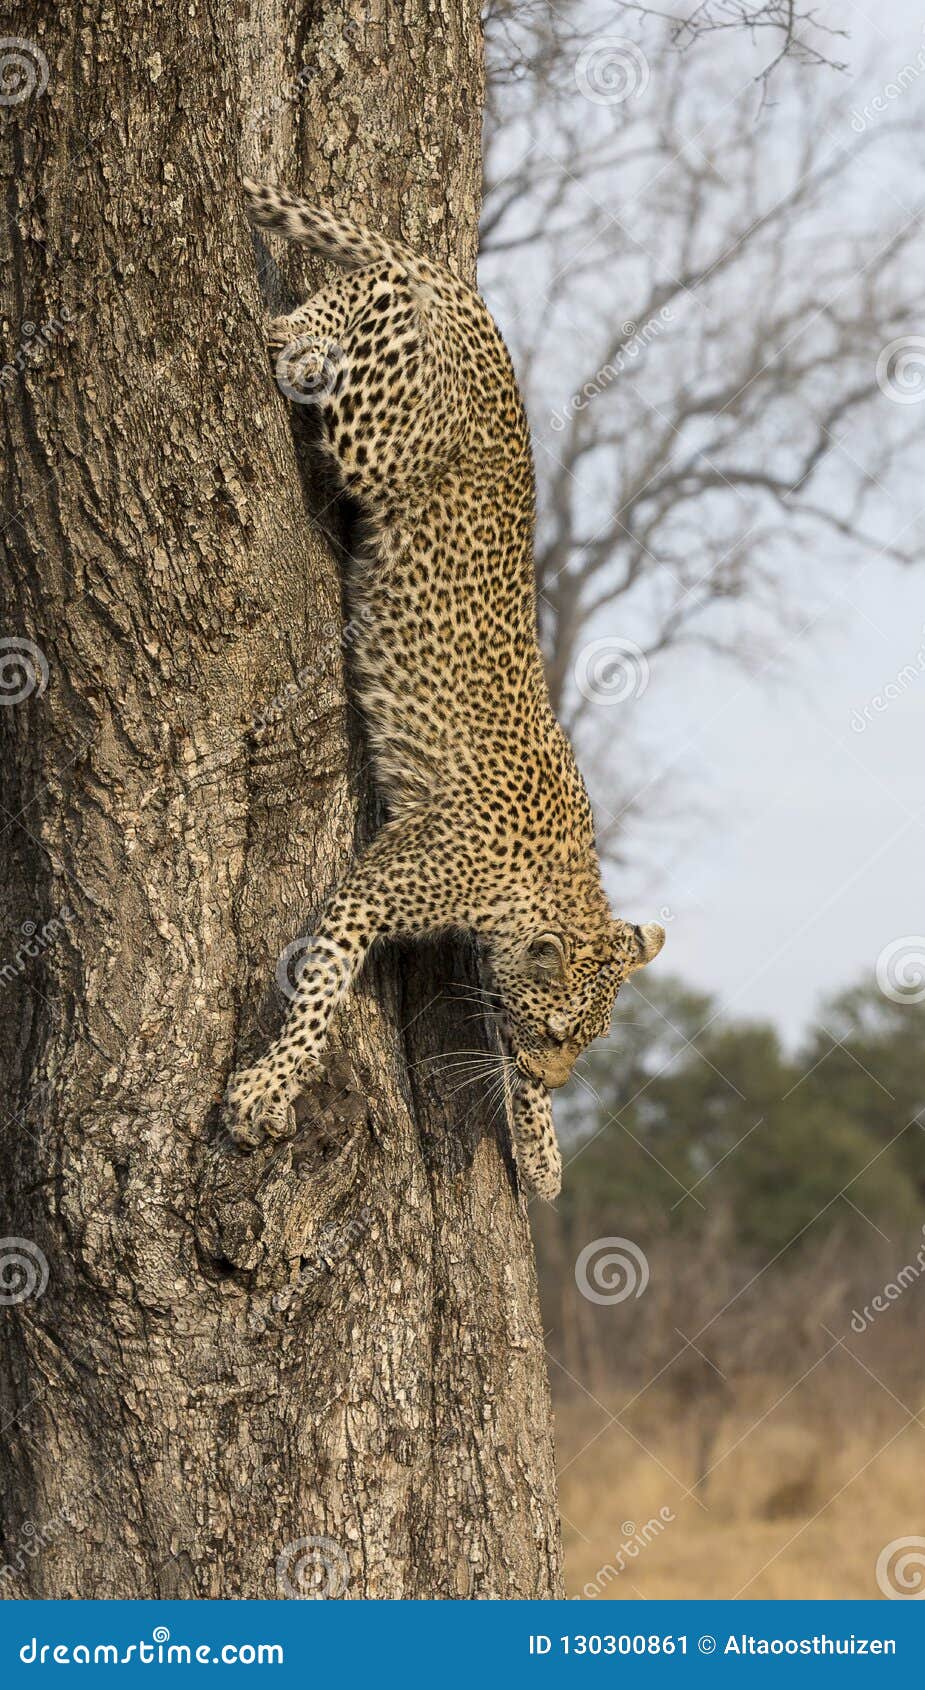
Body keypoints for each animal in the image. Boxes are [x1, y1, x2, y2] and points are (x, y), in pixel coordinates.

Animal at [223, 179, 665, 1200]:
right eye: (555, 1030)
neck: (547, 878)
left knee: (386, 281)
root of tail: (483, 318)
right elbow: (321, 988)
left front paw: (539, 1149)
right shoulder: (373, 887)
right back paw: (302, 336)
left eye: (587, 1044)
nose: (561, 1075)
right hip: (380, 443)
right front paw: (267, 1088)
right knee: (382, 285)